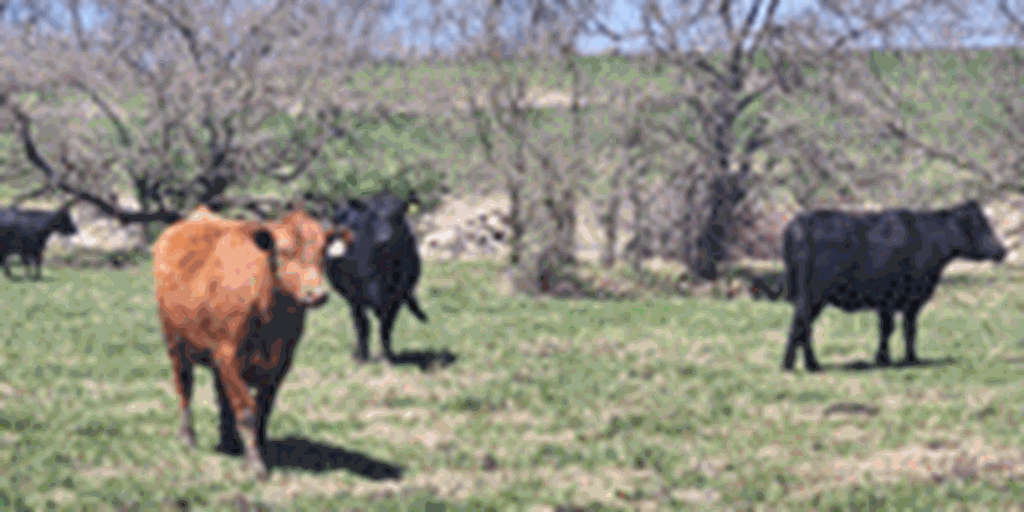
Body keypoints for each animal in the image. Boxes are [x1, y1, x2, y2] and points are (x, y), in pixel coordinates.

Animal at [152, 203, 353, 479]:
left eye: (323, 250)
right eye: (284, 251)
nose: (317, 294)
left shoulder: (281, 363)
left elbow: (262, 410)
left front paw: (259, 449)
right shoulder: (228, 355)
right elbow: (247, 411)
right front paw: (256, 464)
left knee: (221, 395)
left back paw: (230, 442)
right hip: (175, 344)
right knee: (185, 388)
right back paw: (187, 437)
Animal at [326, 190, 432, 366]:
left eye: (398, 214)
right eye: (372, 215)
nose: (384, 238)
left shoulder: (398, 296)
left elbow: (386, 327)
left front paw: (389, 357)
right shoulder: (354, 296)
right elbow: (363, 325)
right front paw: (363, 357)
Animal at [762, 200, 1006, 372]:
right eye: (982, 226)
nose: (1002, 251)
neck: (926, 238)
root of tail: (799, 223)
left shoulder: (889, 302)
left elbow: (892, 328)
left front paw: (890, 358)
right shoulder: (904, 299)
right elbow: (902, 328)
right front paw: (902, 359)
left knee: (803, 326)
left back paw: (804, 364)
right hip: (813, 294)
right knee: (801, 323)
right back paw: (800, 365)